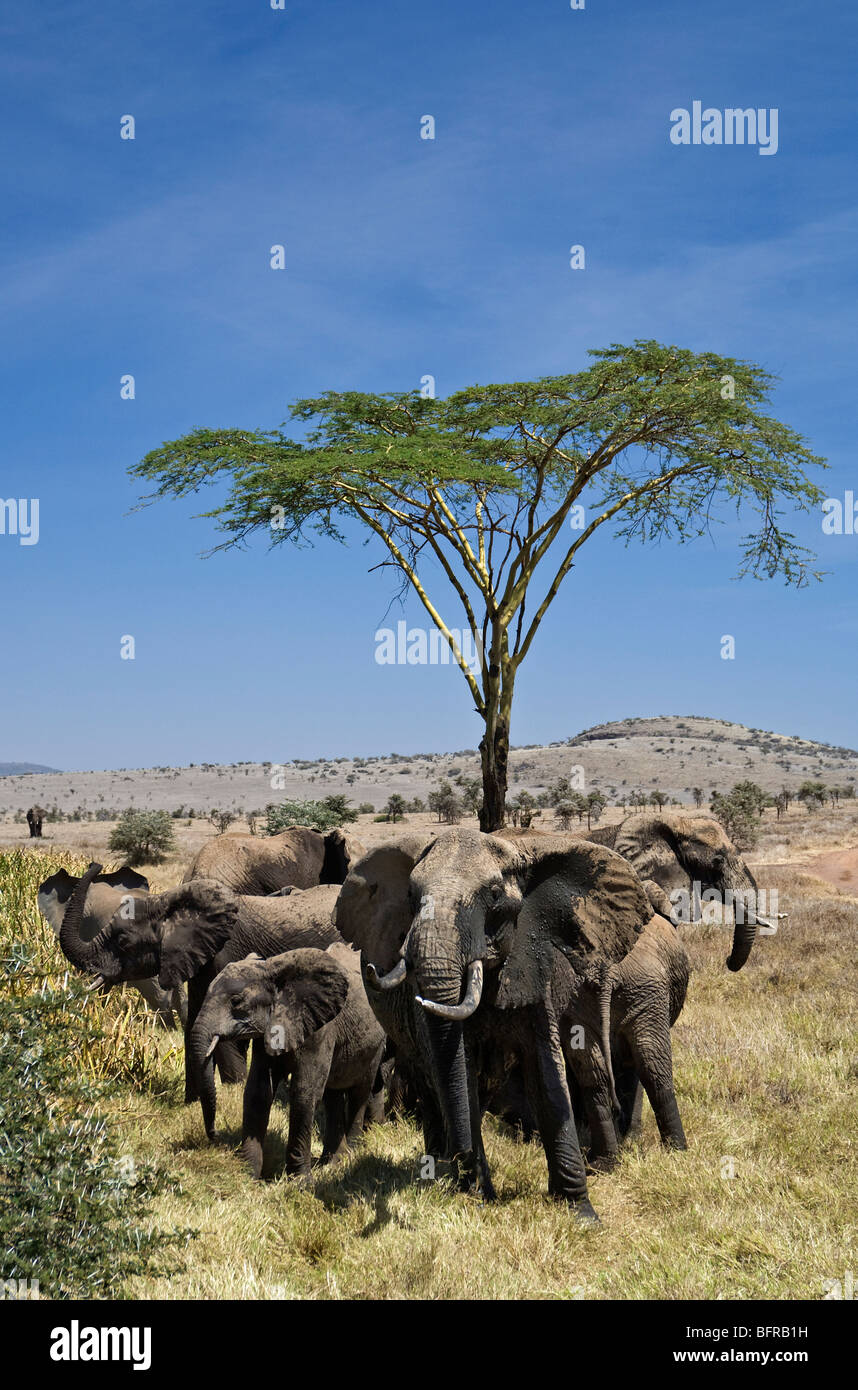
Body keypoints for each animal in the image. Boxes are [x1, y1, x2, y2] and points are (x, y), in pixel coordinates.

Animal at [53, 864, 342, 1103]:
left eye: (123, 941)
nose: (96, 865)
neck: (170, 904)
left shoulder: (224, 953)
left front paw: (233, 1091)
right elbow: (194, 1023)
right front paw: (192, 1102)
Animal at [189, 942, 385, 1178]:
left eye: (236, 1001)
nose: (215, 1134)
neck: (271, 968)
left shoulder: (319, 1028)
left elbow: (304, 1092)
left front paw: (300, 1181)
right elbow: (258, 1092)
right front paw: (248, 1174)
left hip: (376, 1043)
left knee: (359, 1091)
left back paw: (349, 1157)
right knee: (333, 1095)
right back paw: (332, 1163)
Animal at [334, 827, 654, 1222]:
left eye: (495, 895)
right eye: (410, 895)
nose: (466, 1180)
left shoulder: (534, 964)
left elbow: (546, 1074)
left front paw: (580, 1212)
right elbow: (458, 1074)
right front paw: (477, 1196)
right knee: (431, 1082)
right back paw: (440, 1166)